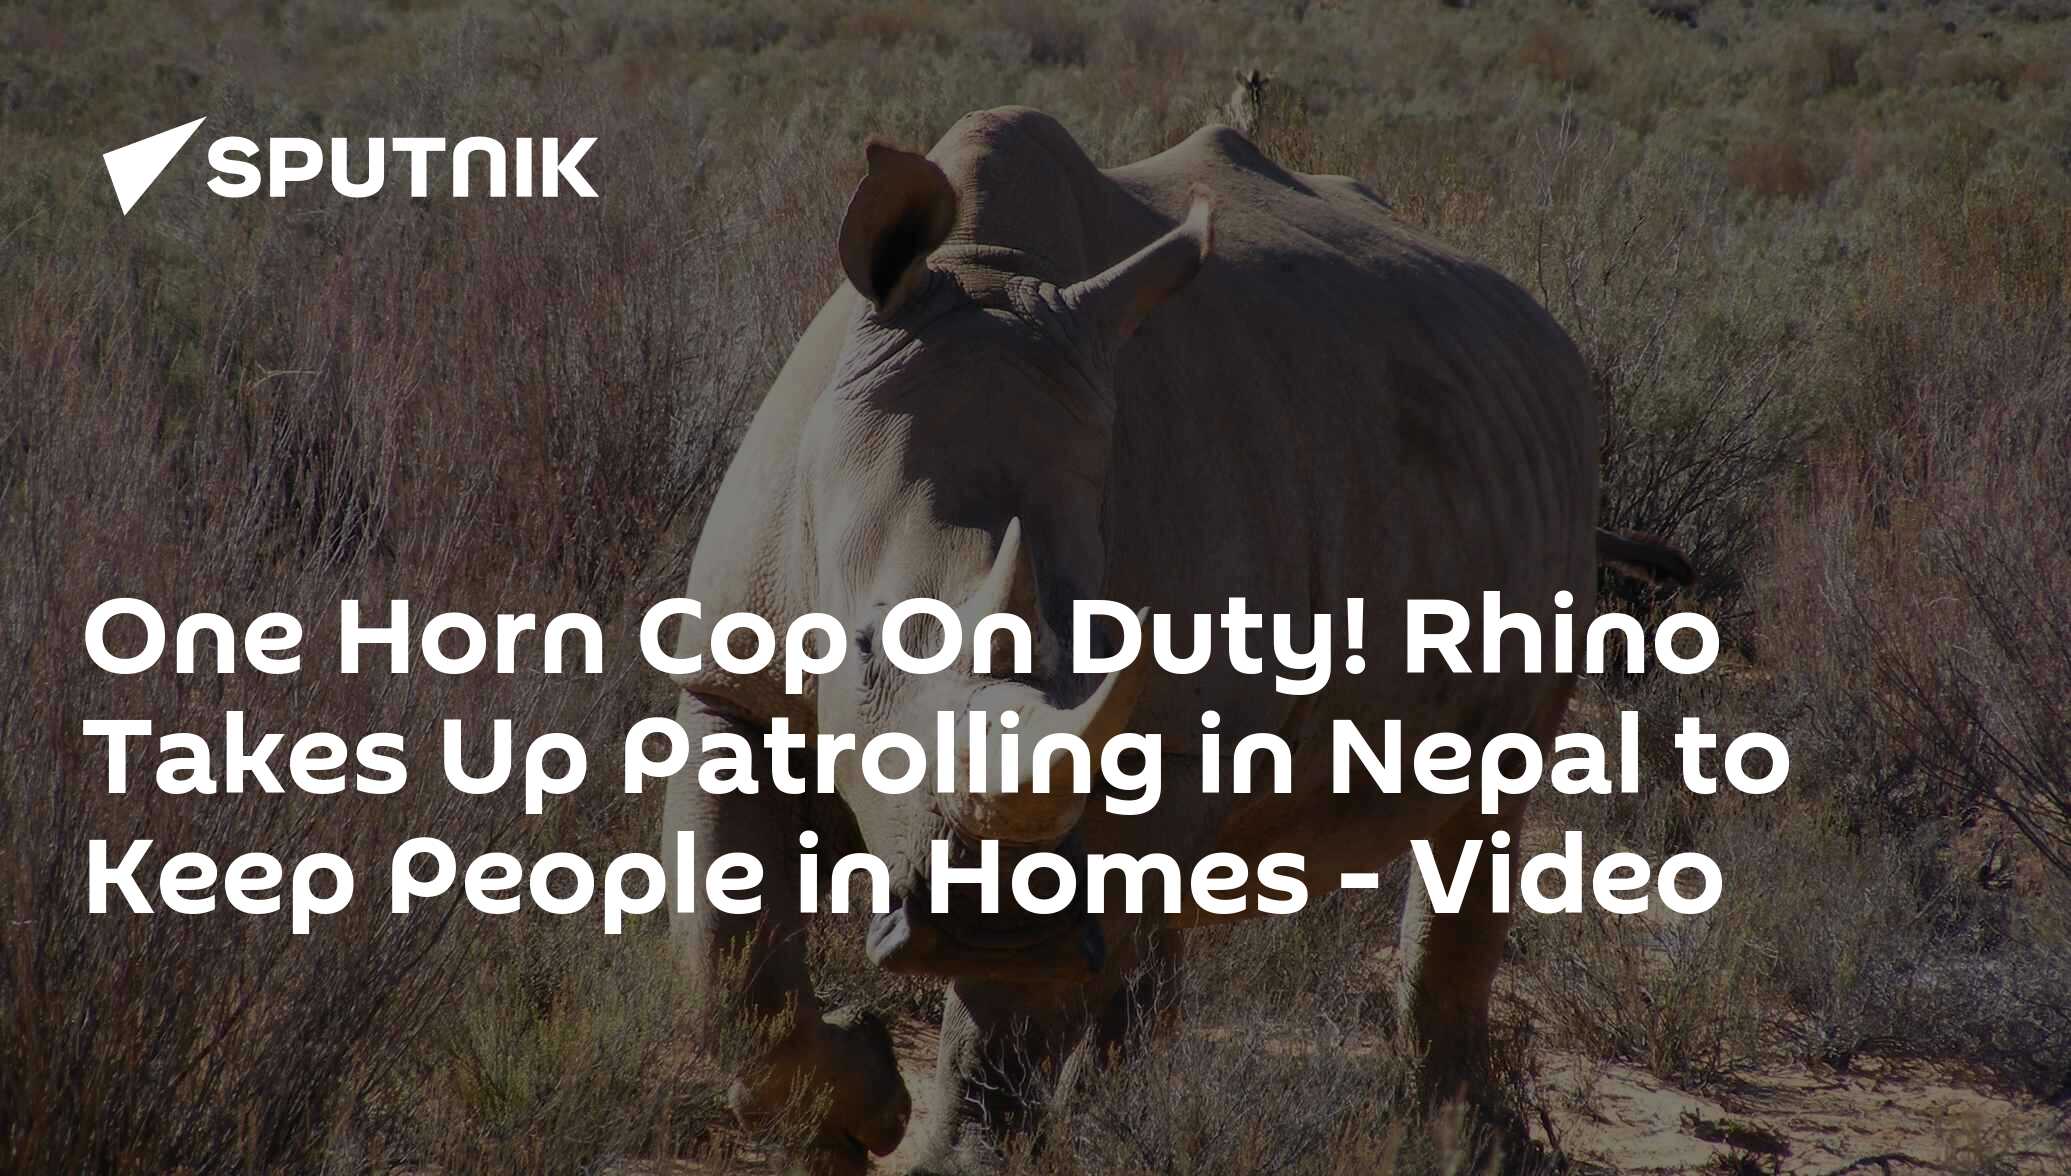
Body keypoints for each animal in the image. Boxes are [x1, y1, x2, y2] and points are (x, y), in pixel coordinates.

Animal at [661, 106, 1669, 1173]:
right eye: (863, 650)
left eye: (1109, 648)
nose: (997, 926)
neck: (984, 271)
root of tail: (1546, 334)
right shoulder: (729, 679)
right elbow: (727, 958)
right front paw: (849, 1117)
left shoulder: (1158, 743)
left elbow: (1006, 1013)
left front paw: (942, 1151)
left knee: (1481, 808)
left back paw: (1461, 1139)